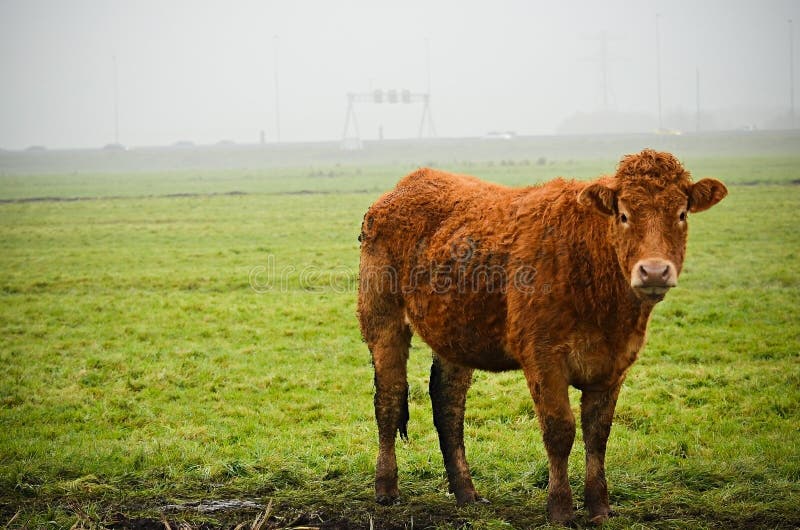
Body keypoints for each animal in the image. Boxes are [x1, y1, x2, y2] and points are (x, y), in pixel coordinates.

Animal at [356, 149, 727, 524]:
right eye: (623, 215)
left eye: (681, 214)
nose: (653, 271)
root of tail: (405, 186)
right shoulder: (543, 358)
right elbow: (559, 430)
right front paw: (560, 508)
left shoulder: (615, 364)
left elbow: (598, 434)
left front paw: (599, 508)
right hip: (382, 319)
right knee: (389, 397)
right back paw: (387, 488)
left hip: (455, 334)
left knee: (448, 405)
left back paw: (467, 493)